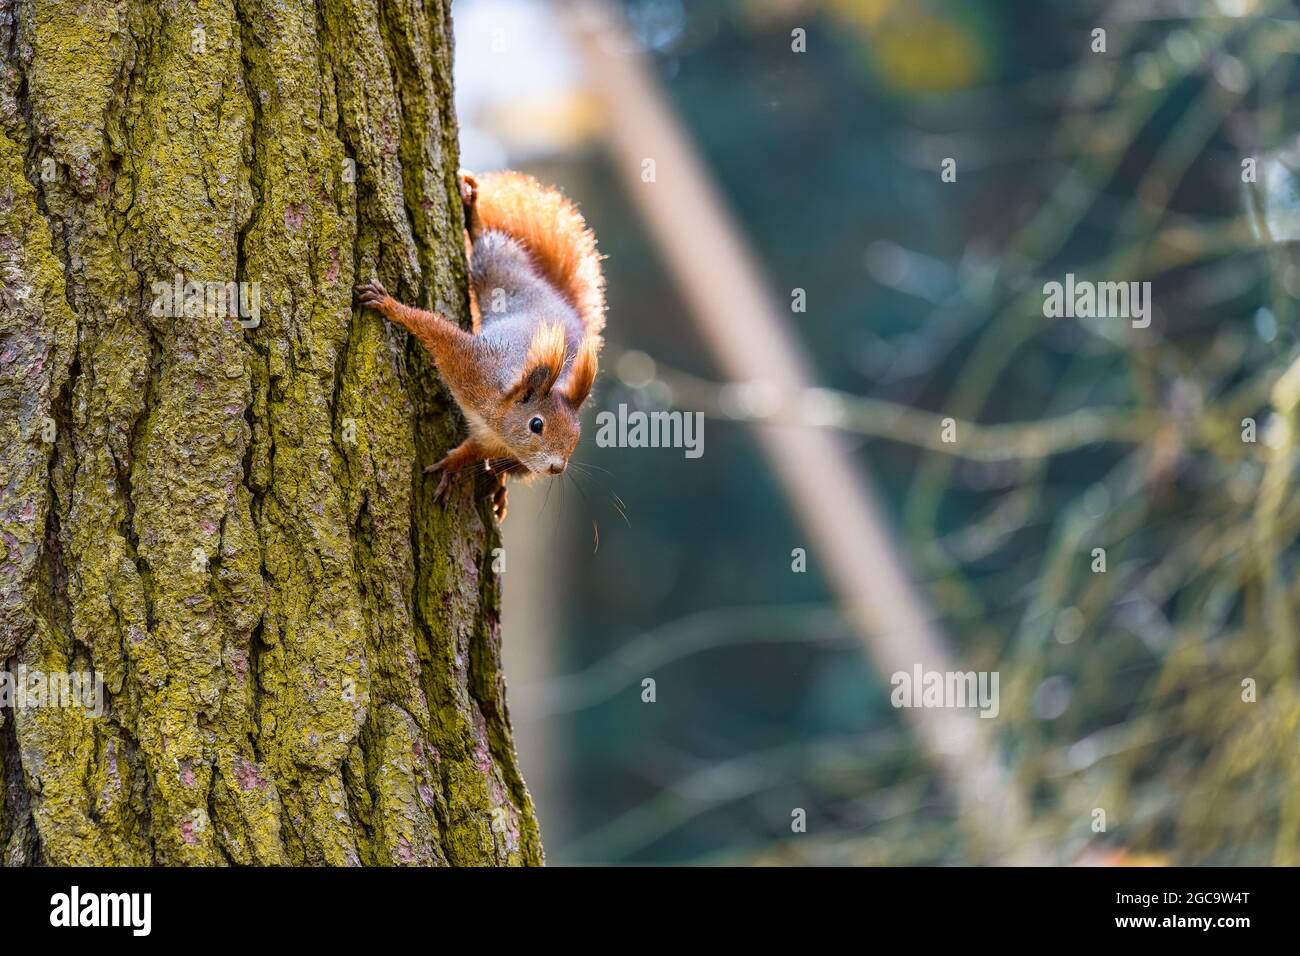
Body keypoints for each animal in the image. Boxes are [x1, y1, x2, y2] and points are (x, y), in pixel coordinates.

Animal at [356, 170, 605, 521]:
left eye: (576, 436)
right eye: (537, 425)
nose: (557, 467)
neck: (497, 420)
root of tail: (561, 301)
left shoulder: (492, 442)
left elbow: (470, 451)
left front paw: (452, 465)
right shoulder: (473, 365)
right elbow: (434, 329)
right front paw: (390, 305)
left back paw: (498, 486)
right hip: (500, 274)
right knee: (491, 244)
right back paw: (472, 211)